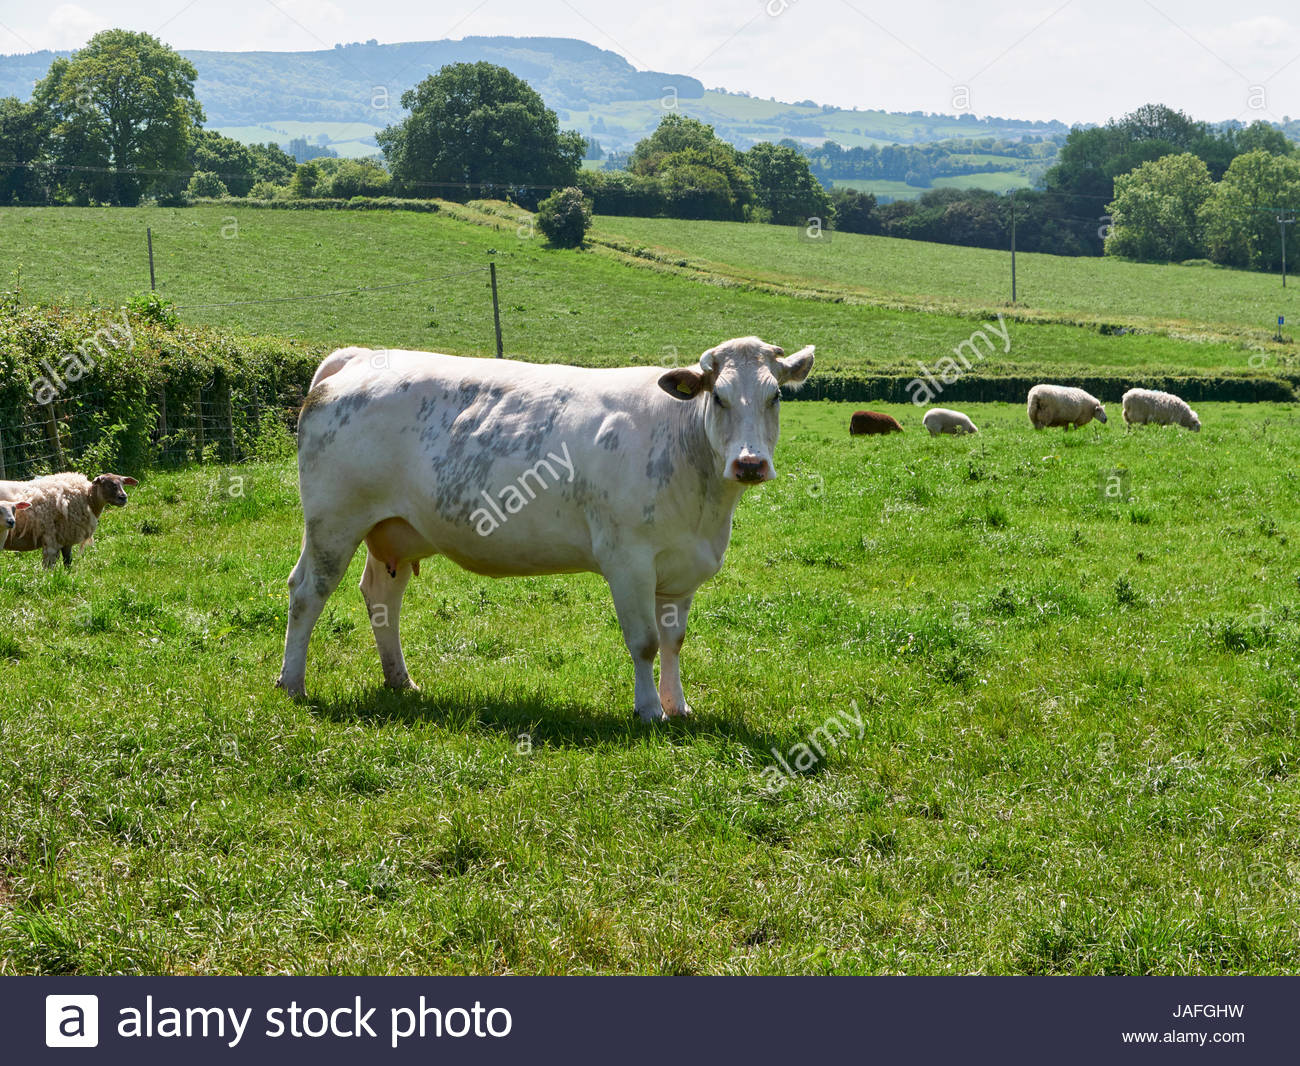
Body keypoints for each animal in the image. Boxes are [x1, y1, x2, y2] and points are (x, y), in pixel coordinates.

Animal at [277, 336, 815, 721]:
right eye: (719, 397)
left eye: (775, 396)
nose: (749, 463)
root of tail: (358, 356)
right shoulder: (628, 560)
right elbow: (643, 641)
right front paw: (648, 711)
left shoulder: (682, 569)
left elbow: (673, 641)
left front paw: (677, 706)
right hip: (333, 521)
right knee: (307, 591)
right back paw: (292, 683)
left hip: (395, 529)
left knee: (382, 597)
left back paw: (400, 680)